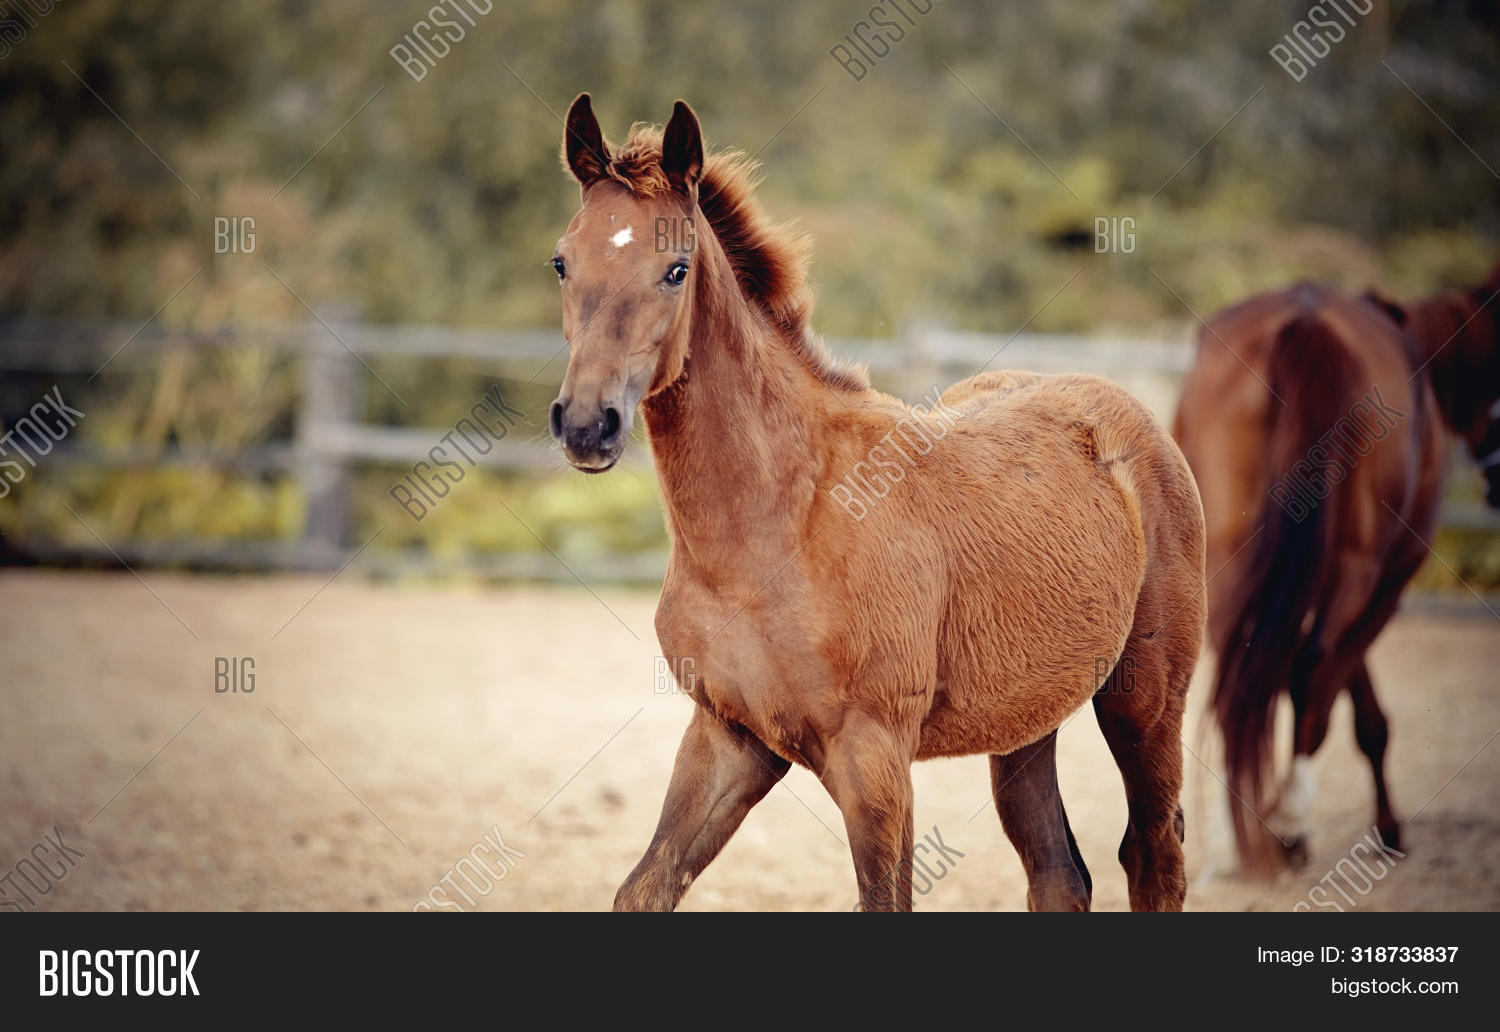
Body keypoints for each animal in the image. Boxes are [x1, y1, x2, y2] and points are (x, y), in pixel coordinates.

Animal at [547, 94, 1206, 911]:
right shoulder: (729, 737)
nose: (586, 424)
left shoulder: (874, 758)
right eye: (563, 261)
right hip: (1027, 720)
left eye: (676, 269)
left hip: (1145, 701)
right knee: (1060, 872)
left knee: (1154, 856)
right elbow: (644, 889)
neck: (777, 525)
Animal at [1172, 266, 1500, 874]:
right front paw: (1382, 827)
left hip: (1226, 554)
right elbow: (1359, 712)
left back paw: (1237, 837)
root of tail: (1307, 321)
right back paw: (1286, 824)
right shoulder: (1387, 583)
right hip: (1356, 569)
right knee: (1304, 675)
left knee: (1238, 675)